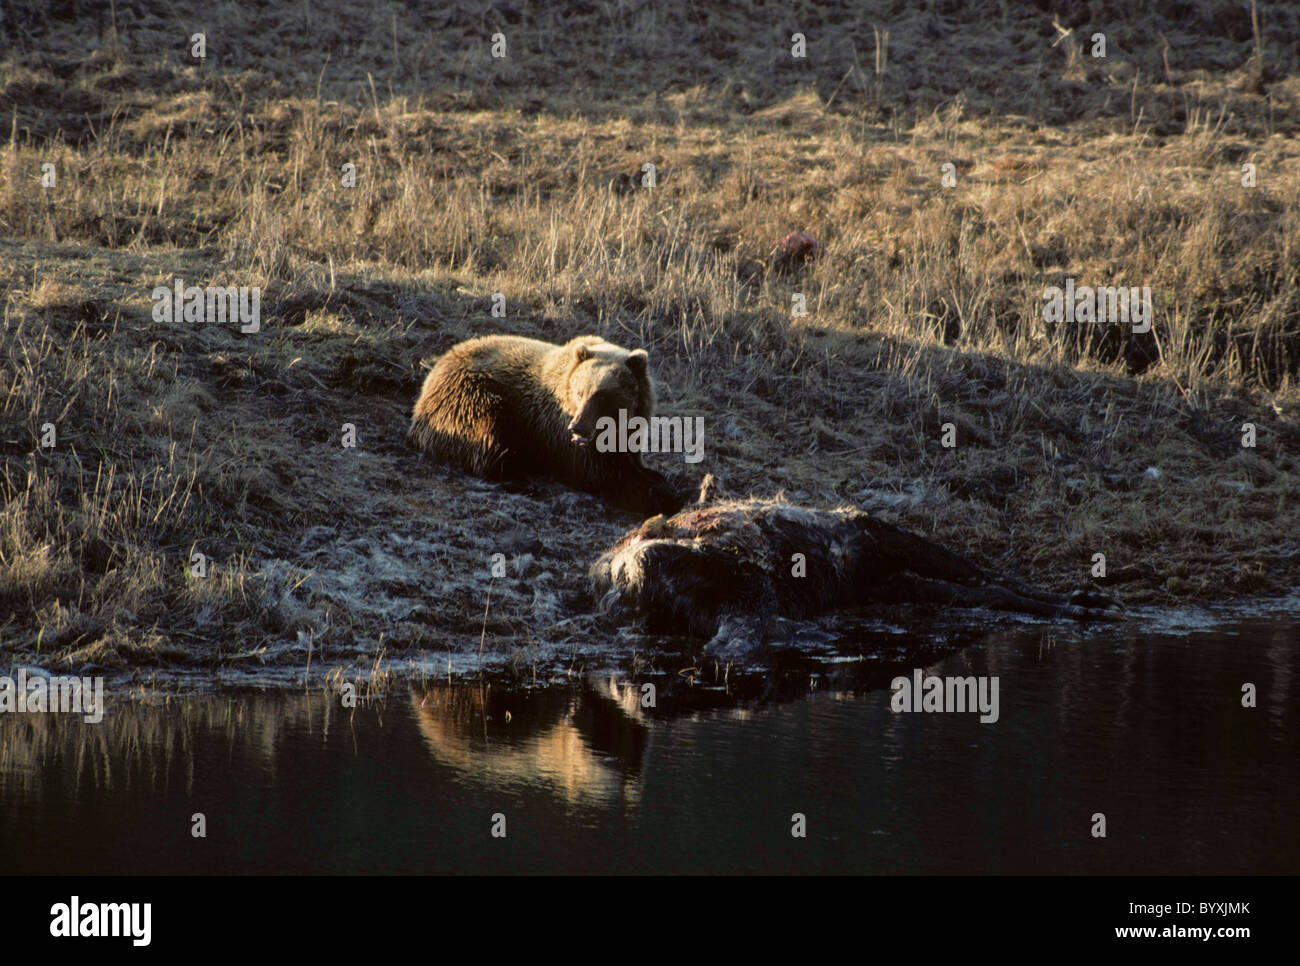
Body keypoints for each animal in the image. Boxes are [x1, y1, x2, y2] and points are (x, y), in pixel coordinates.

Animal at [410, 334, 685, 516]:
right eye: (580, 392)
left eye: (602, 395)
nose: (578, 427)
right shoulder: (557, 428)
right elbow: (602, 471)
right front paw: (665, 497)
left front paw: (653, 474)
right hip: (471, 396)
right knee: (488, 436)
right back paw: (521, 479)